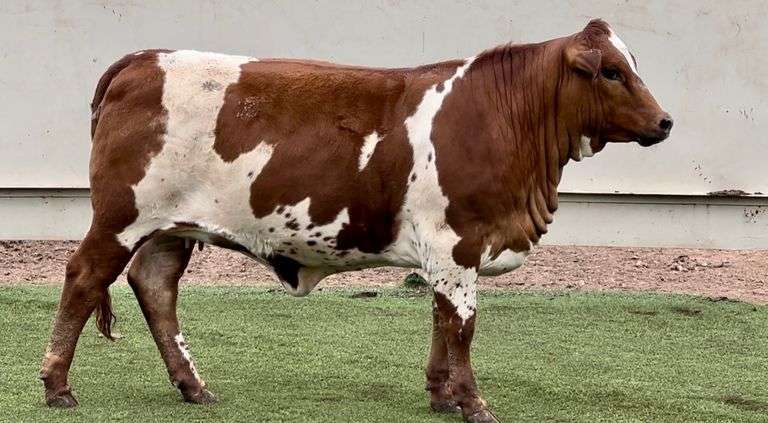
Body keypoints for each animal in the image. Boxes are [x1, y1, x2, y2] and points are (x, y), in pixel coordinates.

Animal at [40, 19, 671, 422]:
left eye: (634, 66)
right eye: (612, 72)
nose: (665, 122)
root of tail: (144, 59)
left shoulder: (443, 252)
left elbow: (441, 319)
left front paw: (441, 396)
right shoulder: (457, 242)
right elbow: (462, 325)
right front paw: (473, 404)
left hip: (170, 228)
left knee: (155, 287)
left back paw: (193, 387)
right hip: (120, 216)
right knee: (84, 278)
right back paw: (56, 386)